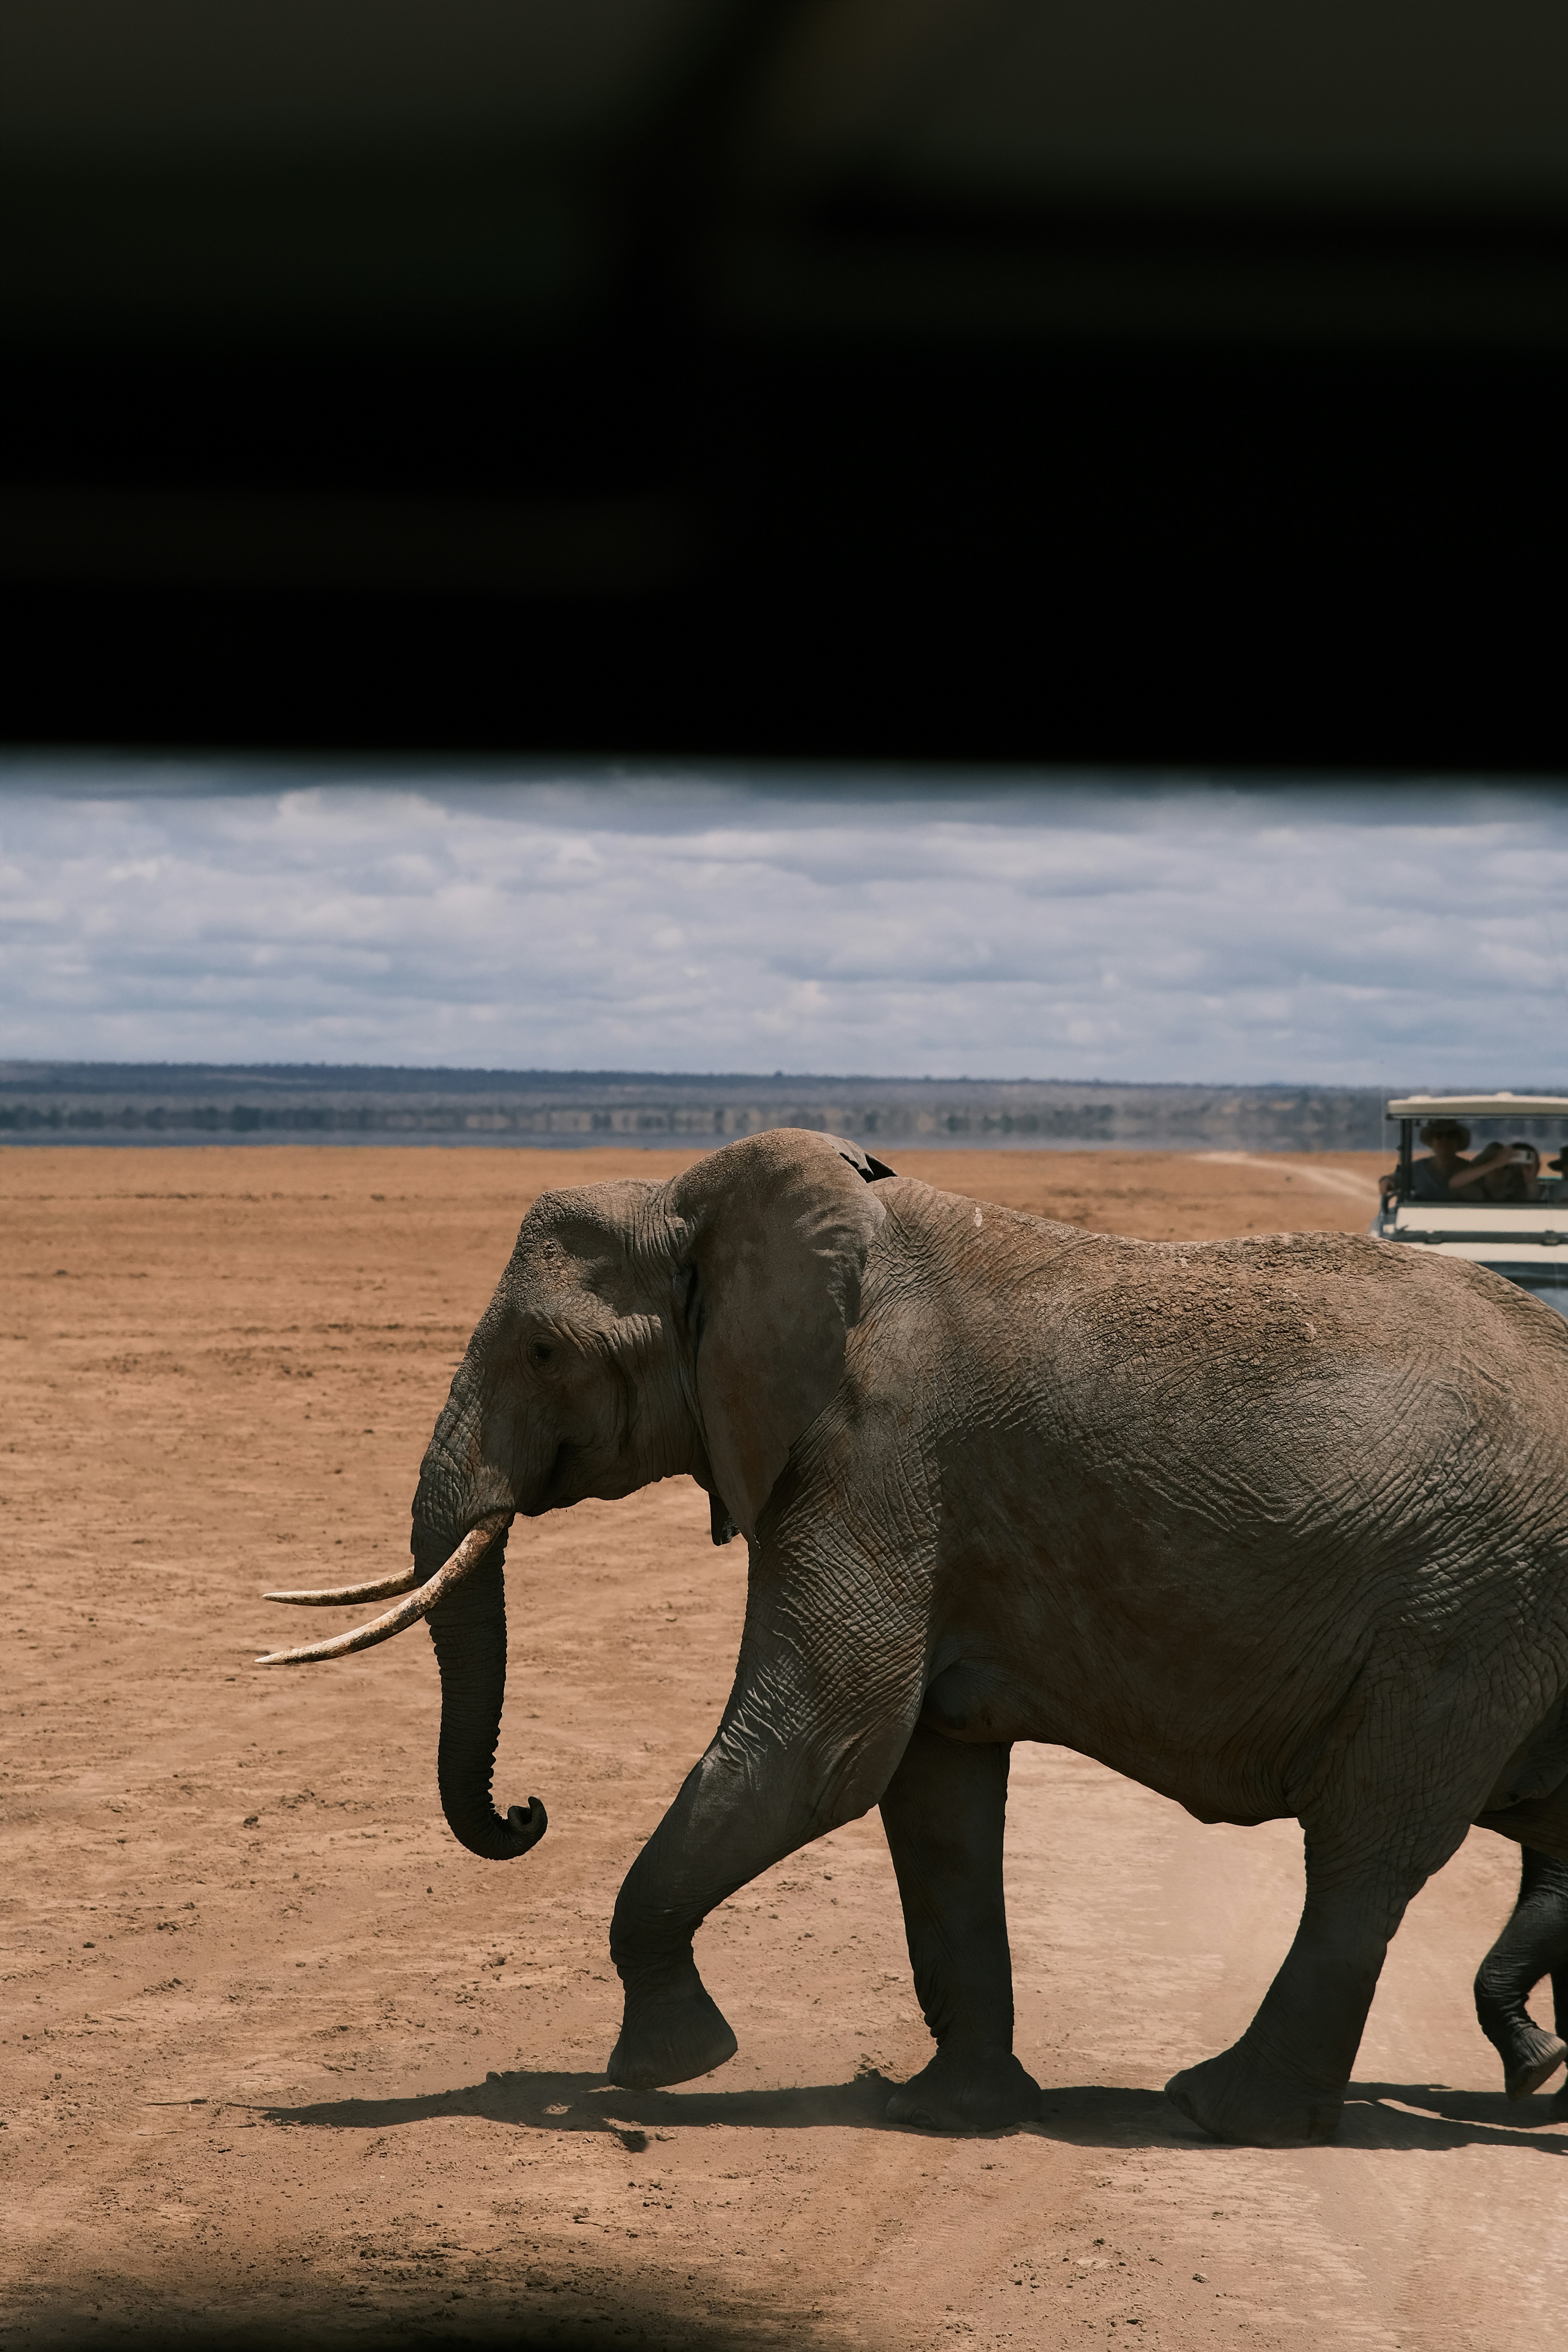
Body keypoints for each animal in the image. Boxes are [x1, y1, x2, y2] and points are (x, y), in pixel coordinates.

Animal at [260, 1127, 1568, 2149]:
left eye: (542, 1351)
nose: (527, 1812)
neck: (705, 1202)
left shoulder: (875, 1452)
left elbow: (824, 1740)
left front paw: (660, 2072)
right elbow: (930, 1788)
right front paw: (948, 2113)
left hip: (1465, 1607)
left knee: (1367, 1845)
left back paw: (1221, 2113)